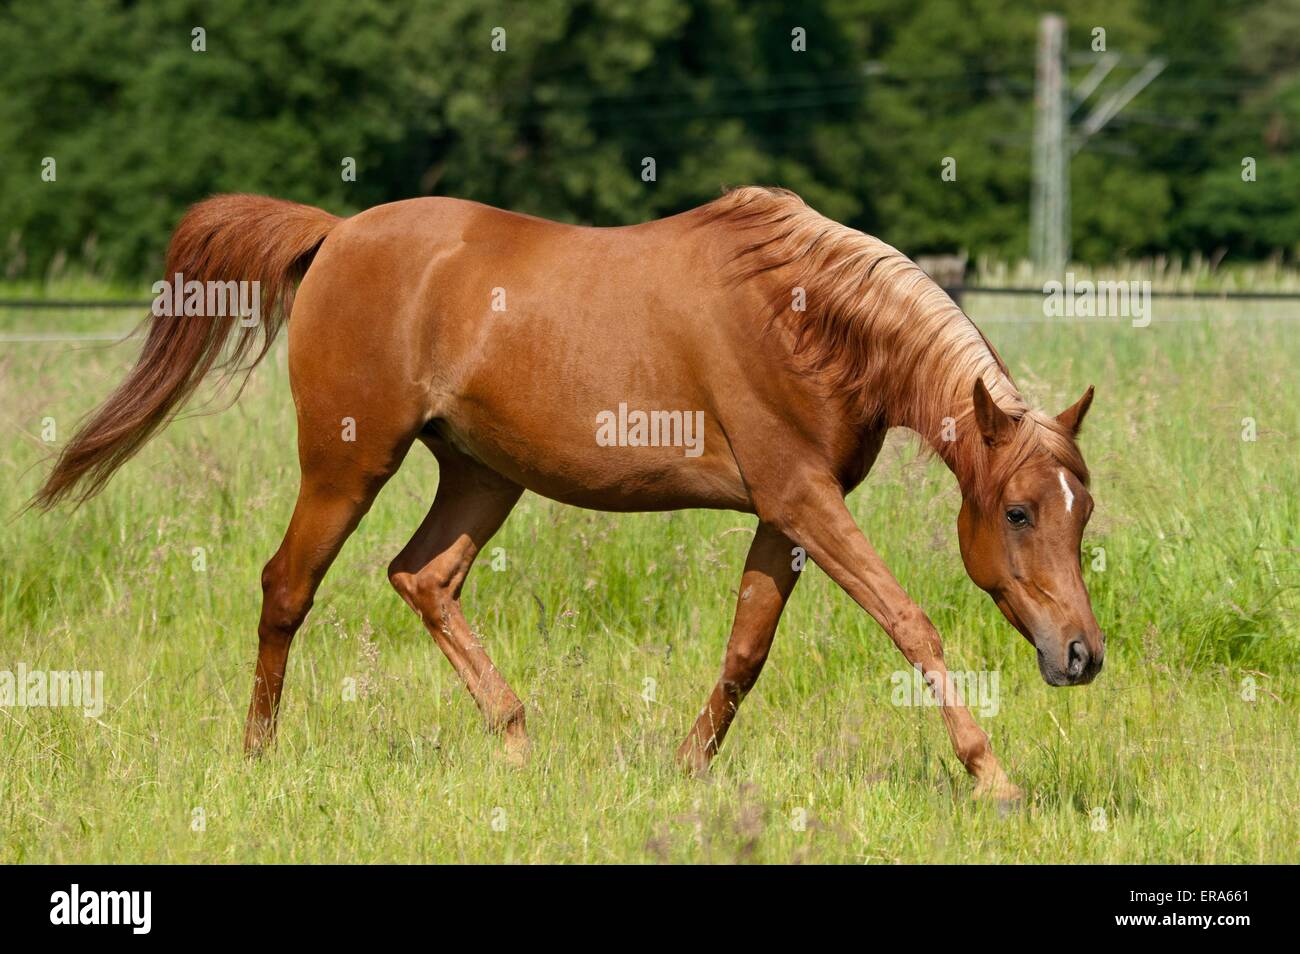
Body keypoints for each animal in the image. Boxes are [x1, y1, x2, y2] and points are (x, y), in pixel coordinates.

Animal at [37, 186, 1103, 803]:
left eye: (1081, 511)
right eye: (1018, 512)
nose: (1082, 656)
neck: (805, 311)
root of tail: (336, 234)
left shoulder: (784, 514)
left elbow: (746, 652)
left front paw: (685, 773)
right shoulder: (805, 500)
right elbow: (910, 623)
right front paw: (993, 778)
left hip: (481, 475)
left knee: (423, 578)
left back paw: (515, 745)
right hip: (347, 466)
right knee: (287, 588)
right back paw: (257, 759)